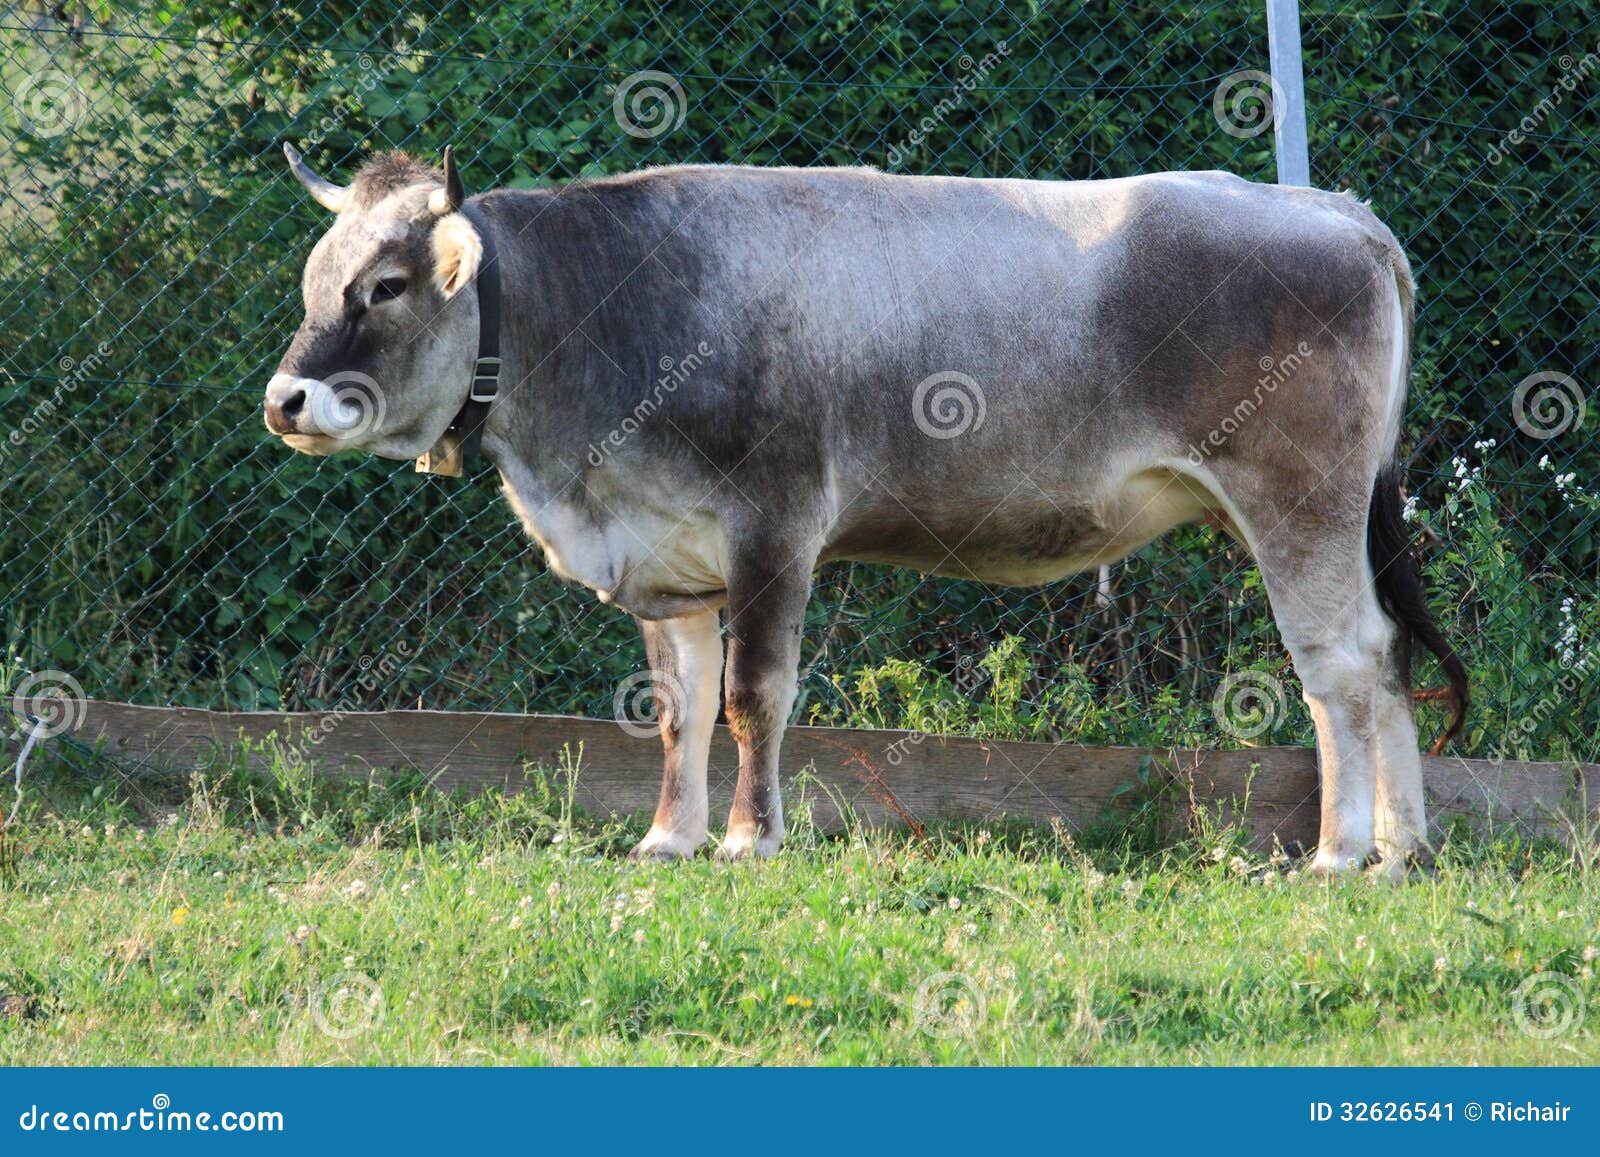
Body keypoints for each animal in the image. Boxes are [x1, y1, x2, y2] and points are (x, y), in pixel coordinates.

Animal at [264, 144, 1468, 878]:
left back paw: (1339, 851)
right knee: (1389, 654)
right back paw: (1403, 849)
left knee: (1339, 661)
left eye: (384, 286)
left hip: (1298, 500)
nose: (284, 399)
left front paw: (748, 838)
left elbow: (751, 697)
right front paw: (667, 839)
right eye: (316, 278)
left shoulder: (774, 526)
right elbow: (678, 708)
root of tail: (1334, 210)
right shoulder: (665, 557)